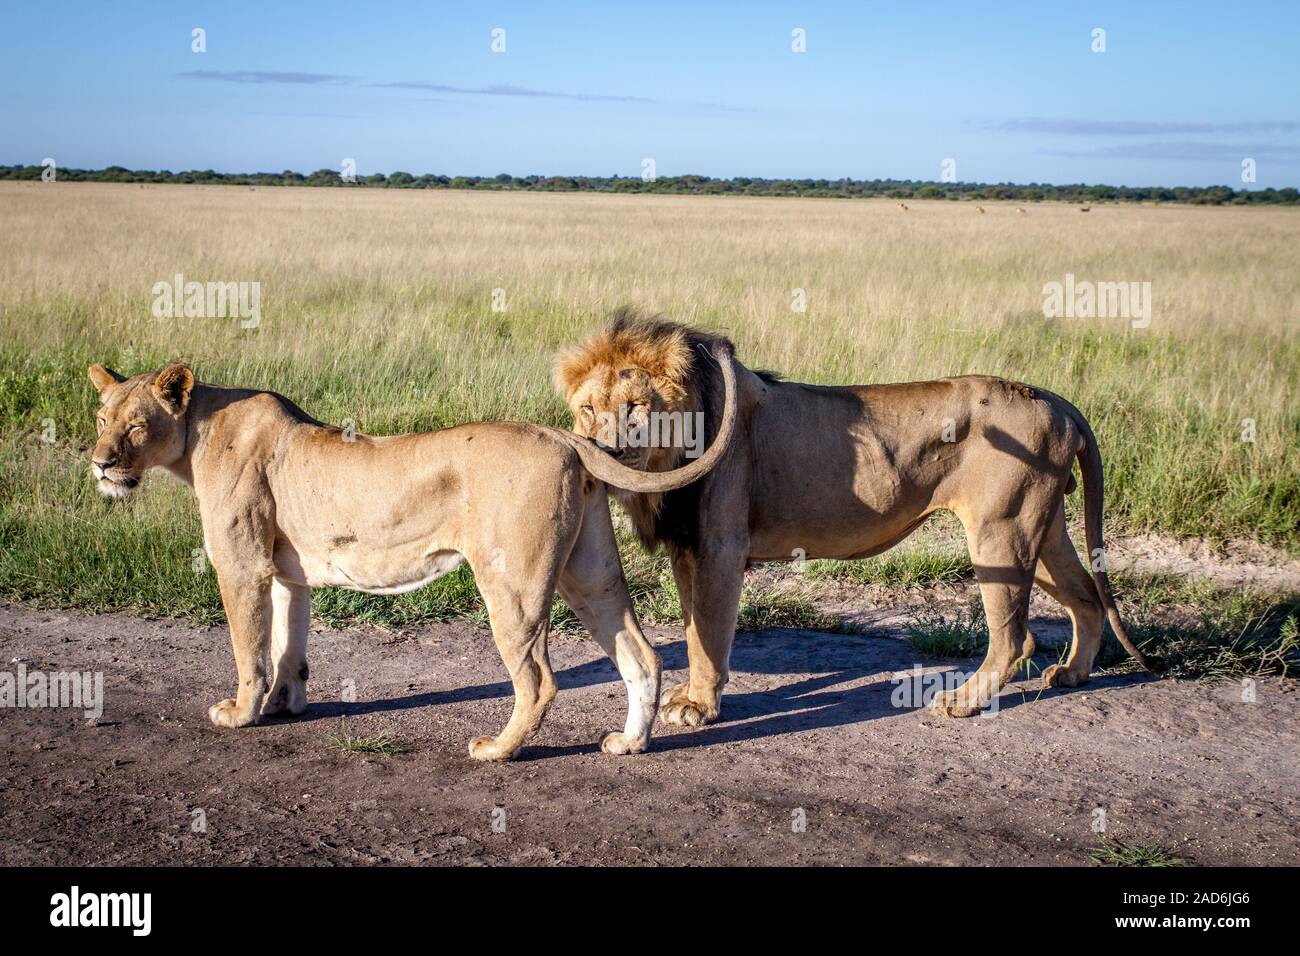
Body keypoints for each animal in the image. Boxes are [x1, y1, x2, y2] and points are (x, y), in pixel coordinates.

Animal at [86, 346, 736, 760]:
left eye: (136, 426)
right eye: (100, 418)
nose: (99, 463)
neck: (196, 430)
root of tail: (566, 435)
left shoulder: (242, 566)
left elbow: (251, 650)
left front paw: (241, 713)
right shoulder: (286, 573)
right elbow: (288, 645)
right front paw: (282, 707)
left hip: (512, 584)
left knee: (538, 680)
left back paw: (497, 750)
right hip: (590, 572)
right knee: (641, 655)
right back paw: (629, 743)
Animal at [555, 309, 1160, 726]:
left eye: (636, 407)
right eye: (588, 409)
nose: (607, 449)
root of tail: (1056, 400)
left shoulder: (719, 548)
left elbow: (709, 633)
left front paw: (698, 707)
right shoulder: (688, 548)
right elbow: (693, 628)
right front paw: (693, 697)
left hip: (1001, 533)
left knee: (1015, 638)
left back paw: (961, 702)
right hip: (1042, 527)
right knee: (1086, 596)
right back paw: (1073, 674)